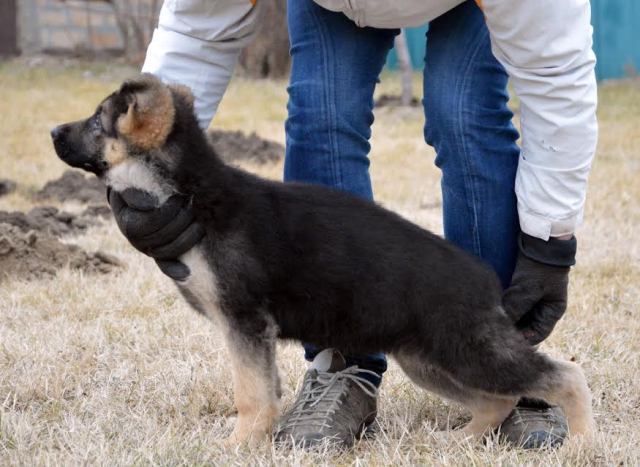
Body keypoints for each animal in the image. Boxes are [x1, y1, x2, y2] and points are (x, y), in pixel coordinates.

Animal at [51, 74, 596, 446]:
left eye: (97, 121)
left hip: (466, 349)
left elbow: (251, 393)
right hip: (429, 359)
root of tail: (486, 284)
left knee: (564, 377)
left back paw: (581, 442)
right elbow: (262, 390)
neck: (192, 192)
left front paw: (238, 445)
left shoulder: (245, 322)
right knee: (497, 398)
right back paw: (460, 441)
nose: (54, 131)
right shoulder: (250, 331)